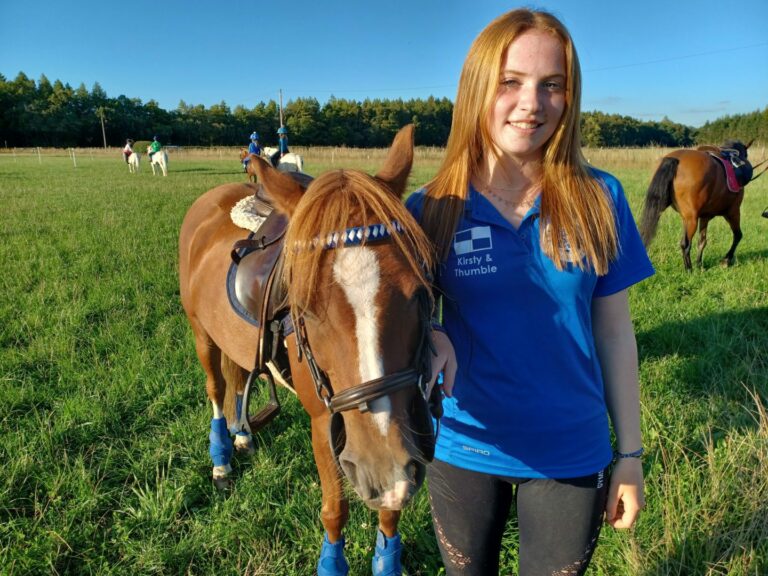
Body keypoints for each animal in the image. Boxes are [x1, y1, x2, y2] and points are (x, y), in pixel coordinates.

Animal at [180, 125, 439, 575]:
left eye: (418, 291)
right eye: (304, 307)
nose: (380, 468)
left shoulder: (401, 448)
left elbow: (390, 511)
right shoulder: (323, 423)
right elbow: (335, 511)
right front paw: (331, 563)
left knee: (238, 379)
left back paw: (242, 435)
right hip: (201, 334)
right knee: (216, 390)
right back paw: (221, 458)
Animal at [639, 140, 762, 270]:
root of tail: (675, 159)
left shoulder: (704, 217)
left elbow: (702, 241)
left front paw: (699, 264)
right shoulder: (733, 212)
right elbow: (738, 235)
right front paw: (726, 260)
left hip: (676, 214)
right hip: (693, 219)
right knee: (685, 244)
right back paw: (689, 269)